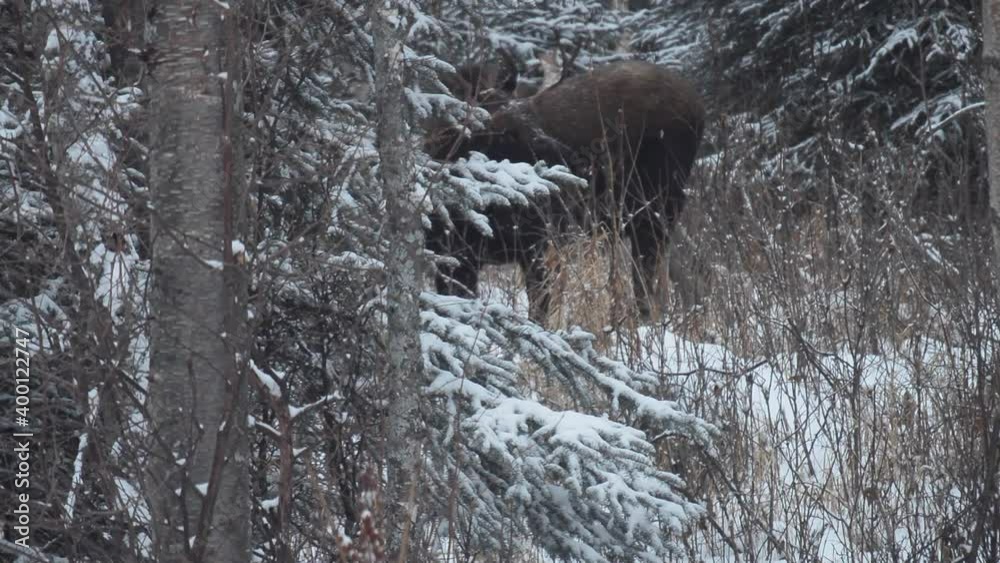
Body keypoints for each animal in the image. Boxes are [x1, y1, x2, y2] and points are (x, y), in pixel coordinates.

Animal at [426, 57, 705, 322]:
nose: (567, 158)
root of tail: (696, 108)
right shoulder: (454, 259)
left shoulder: (540, 242)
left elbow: (539, 310)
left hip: (658, 207)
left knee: (649, 277)